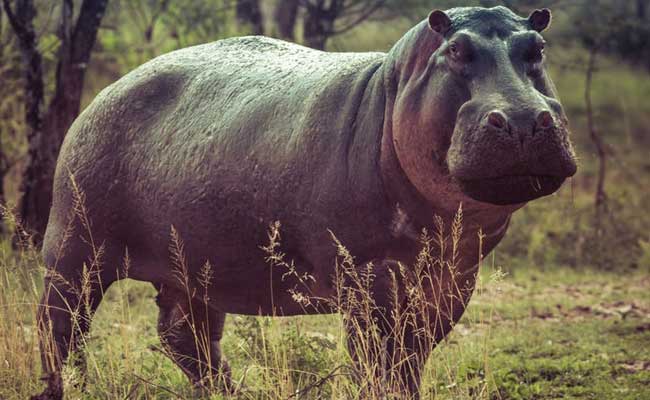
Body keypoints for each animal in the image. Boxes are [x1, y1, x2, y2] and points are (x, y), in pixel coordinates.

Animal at [33, 6, 577, 399]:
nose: (523, 118)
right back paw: (66, 388)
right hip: (76, 248)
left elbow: (410, 361)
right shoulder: (370, 280)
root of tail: (108, 89)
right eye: (457, 50)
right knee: (59, 326)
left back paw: (232, 393)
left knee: (186, 337)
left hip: (193, 267)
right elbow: (378, 363)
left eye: (538, 49)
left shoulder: (451, 280)